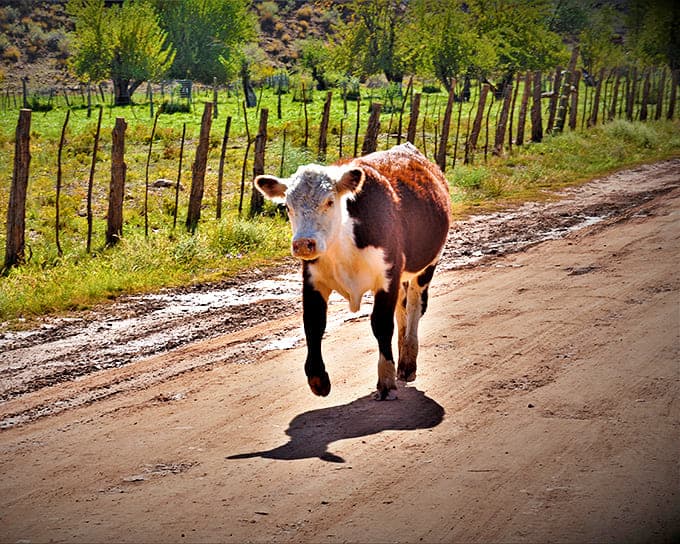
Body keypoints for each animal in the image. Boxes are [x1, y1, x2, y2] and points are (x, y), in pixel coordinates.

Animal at [254, 142, 450, 400]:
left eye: (329, 201)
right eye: (288, 206)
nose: (304, 244)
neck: (344, 243)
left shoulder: (388, 276)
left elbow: (381, 324)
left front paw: (385, 380)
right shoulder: (313, 280)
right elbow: (313, 323)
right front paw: (318, 378)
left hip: (426, 266)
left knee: (415, 307)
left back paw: (408, 362)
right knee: (402, 309)